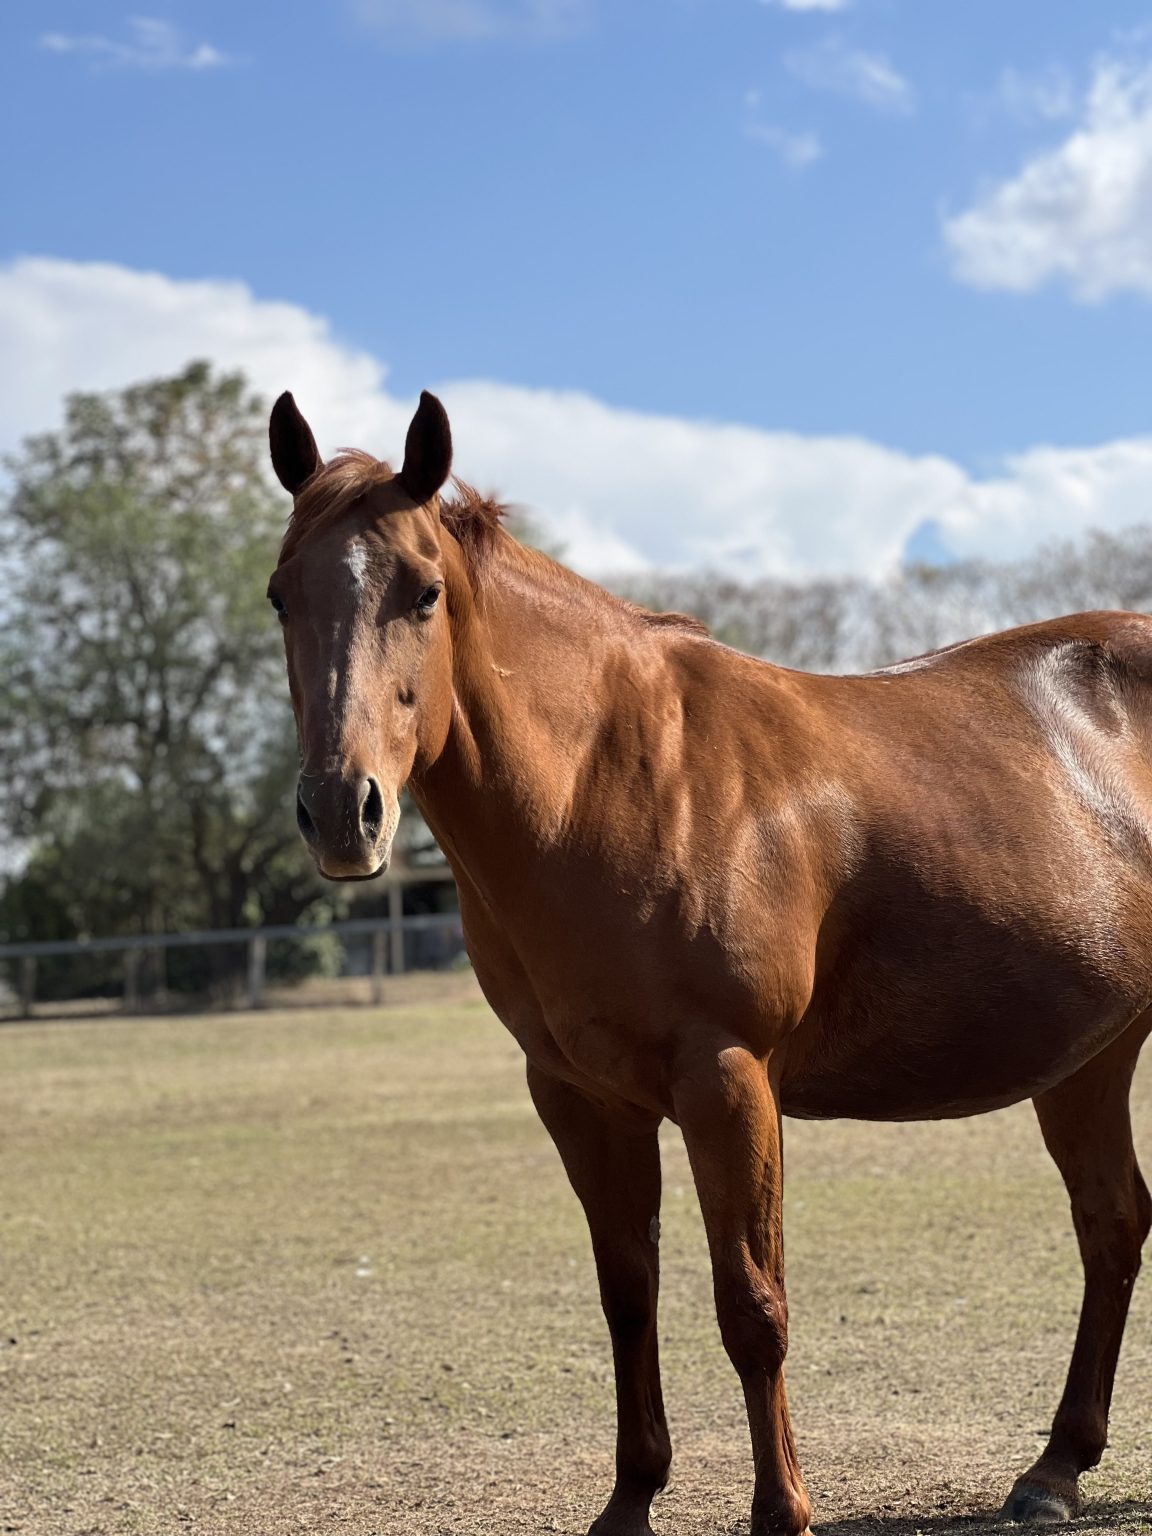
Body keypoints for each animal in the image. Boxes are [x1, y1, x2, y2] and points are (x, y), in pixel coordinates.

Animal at [266, 388, 1152, 1536]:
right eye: (281, 596)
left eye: (423, 592)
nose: (344, 812)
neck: (606, 778)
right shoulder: (582, 1096)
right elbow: (627, 1294)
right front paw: (630, 1498)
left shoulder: (728, 1080)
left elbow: (751, 1304)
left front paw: (782, 1510)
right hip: (1089, 1060)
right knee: (1112, 1223)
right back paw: (1055, 1469)